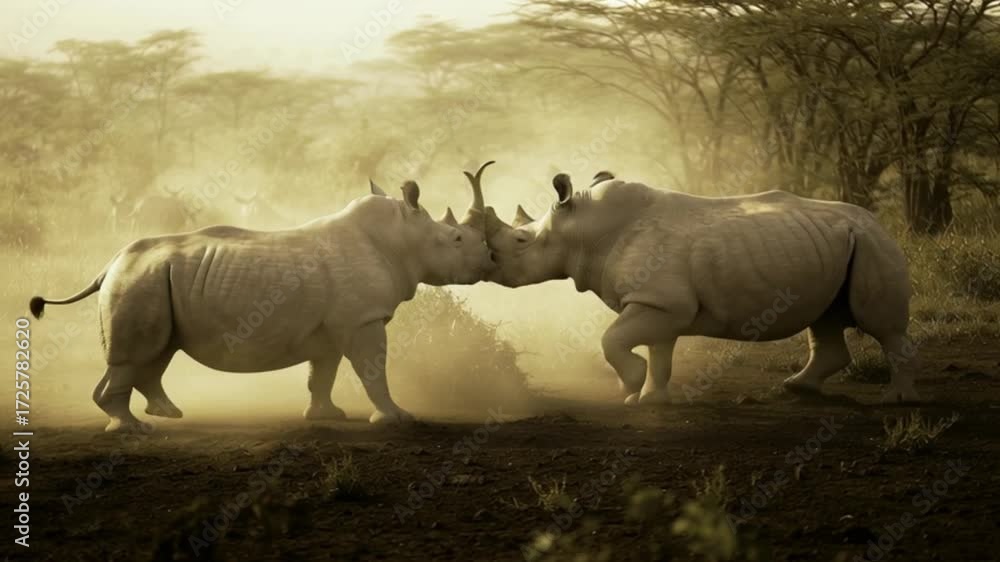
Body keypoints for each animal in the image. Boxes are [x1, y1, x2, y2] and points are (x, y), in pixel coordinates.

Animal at [30, 178, 494, 432]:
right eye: (456, 238)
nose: (490, 257)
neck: (401, 237)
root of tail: (109, 265)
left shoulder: (333, 326)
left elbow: (322, 374)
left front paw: (327, 416)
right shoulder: (363, 319)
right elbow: (373, 371)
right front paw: (398, 418)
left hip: (153, 280)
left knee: (158, 351)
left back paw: (166, 413)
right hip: (140, 281)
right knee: (137, 355)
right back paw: (134, 427)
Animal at [480, 169, 919, 406]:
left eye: (520, 240)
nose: (490, 261)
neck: (585, 231)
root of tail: (879, 222)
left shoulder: (661, 302)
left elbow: (612, 340)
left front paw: (630, 384)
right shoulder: (659, 304)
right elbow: (660, 353)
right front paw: (649, 400)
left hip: (872, 244)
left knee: (883, 327)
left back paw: (896, 400)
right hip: (836, 246)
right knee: (824, 317)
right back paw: (798, 389)